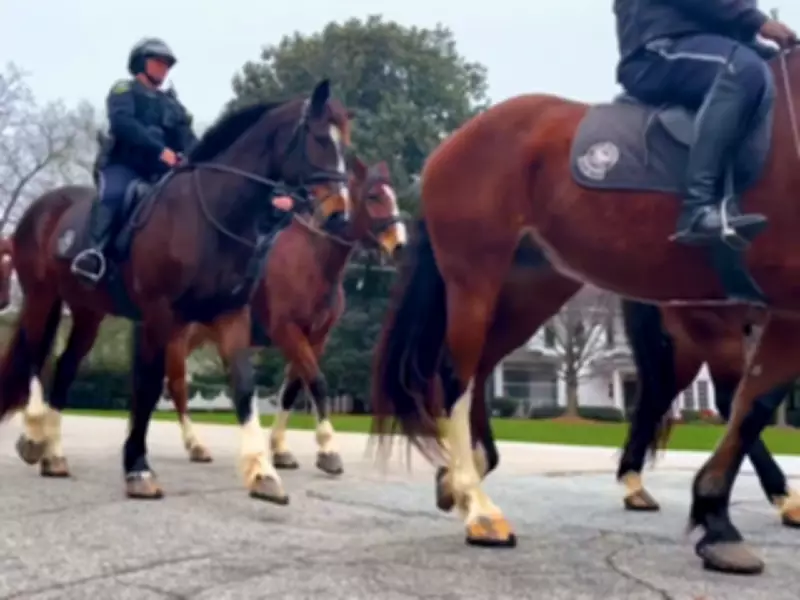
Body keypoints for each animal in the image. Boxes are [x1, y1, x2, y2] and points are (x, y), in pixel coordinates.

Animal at [0, 79, 355, 503]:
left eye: (345, 143)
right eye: (318, 137)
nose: (338, 213)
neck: (210, 218)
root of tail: (40, 208)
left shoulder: (229, 315)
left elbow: (243, 387)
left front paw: (262, 471)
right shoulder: (159, 314)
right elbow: (149, 386)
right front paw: (138, 469)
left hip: (88, 312)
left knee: (65, 367)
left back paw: (53, 453)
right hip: (40, 298)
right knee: (34, 358)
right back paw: (34, 435)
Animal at [164, 157, 406, 470]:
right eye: (374, 196)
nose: (400, 246)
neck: (312, 258)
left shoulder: (315, 336)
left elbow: (293, 387)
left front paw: (280, 448)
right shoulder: (287, 330)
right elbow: (316, 381)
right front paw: (328, 449)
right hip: (179, 333)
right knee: (178, 384)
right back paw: (194, 444)